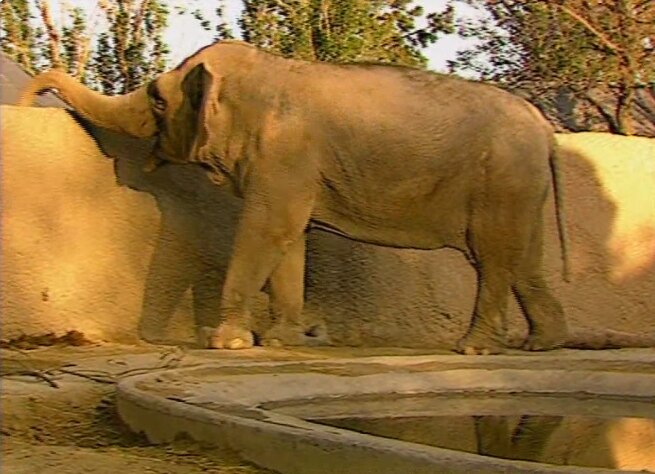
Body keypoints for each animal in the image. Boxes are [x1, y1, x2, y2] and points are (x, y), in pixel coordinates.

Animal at [19, 40, 569, 355]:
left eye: (156, 99)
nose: (29, 97)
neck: (269, 71)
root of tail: (544, 127)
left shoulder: (285, 156)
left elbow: (267, 228)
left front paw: (225, 343)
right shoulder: (292, 170)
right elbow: (290, 238)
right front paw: (279, 340)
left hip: (503, 180)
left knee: (493, 258)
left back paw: (471, 350)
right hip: (522, 188)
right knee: (523, 261)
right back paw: (540, 345)